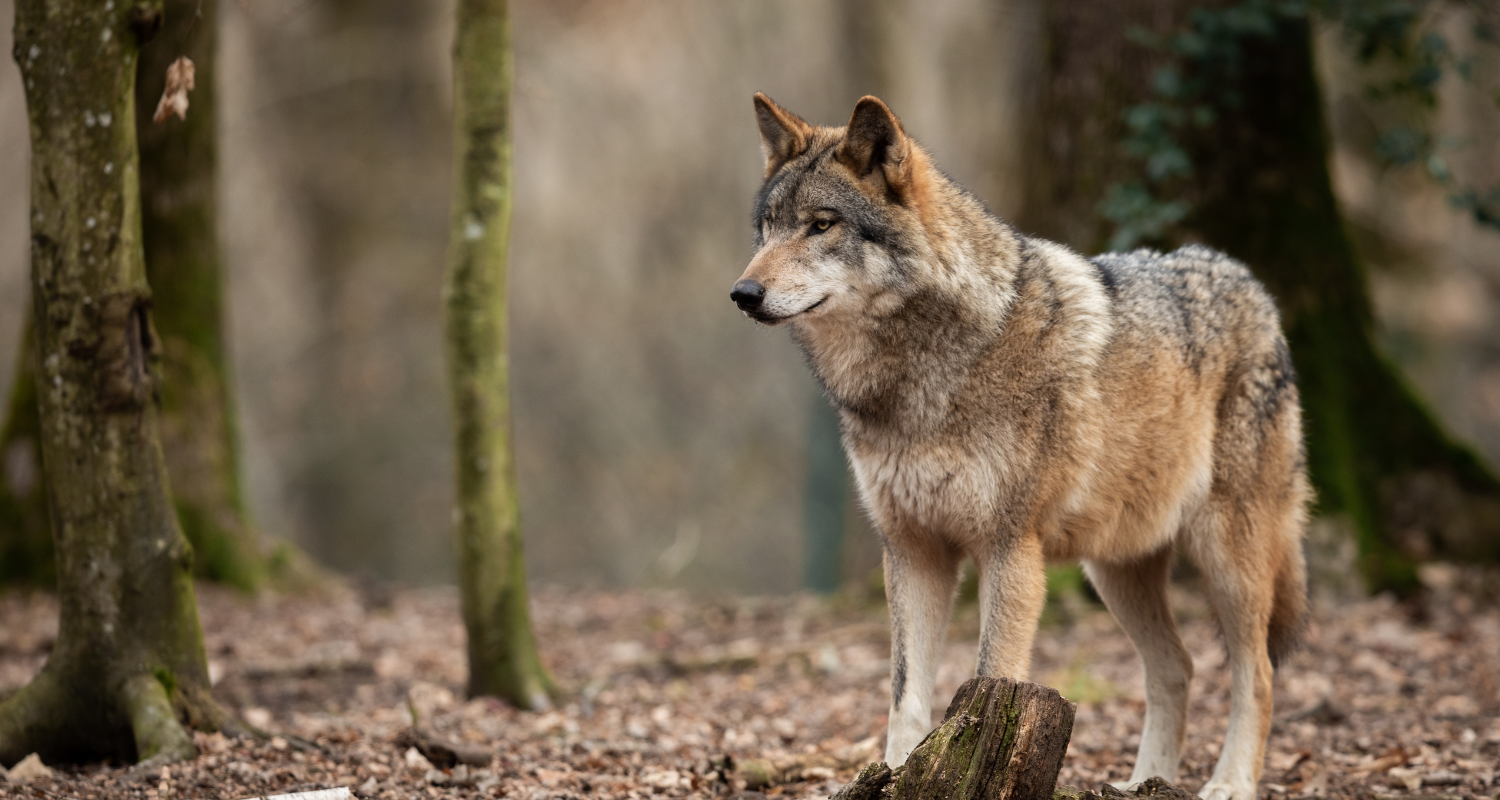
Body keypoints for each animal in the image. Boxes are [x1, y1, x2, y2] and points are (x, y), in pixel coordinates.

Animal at [731, 94, 1309, 800]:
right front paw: (897, 772)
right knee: (1178, 666)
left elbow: (988, 678)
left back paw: (1228, 784)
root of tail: (1250, 282)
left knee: (1258, 675)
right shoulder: (913, 550)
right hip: (1114, 570)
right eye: (767, 229)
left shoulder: (1009, 550)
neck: (919, 380)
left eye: (821, 225)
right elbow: (905, 696)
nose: (743, 294)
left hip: (1228, 558)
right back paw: (1142, 784)